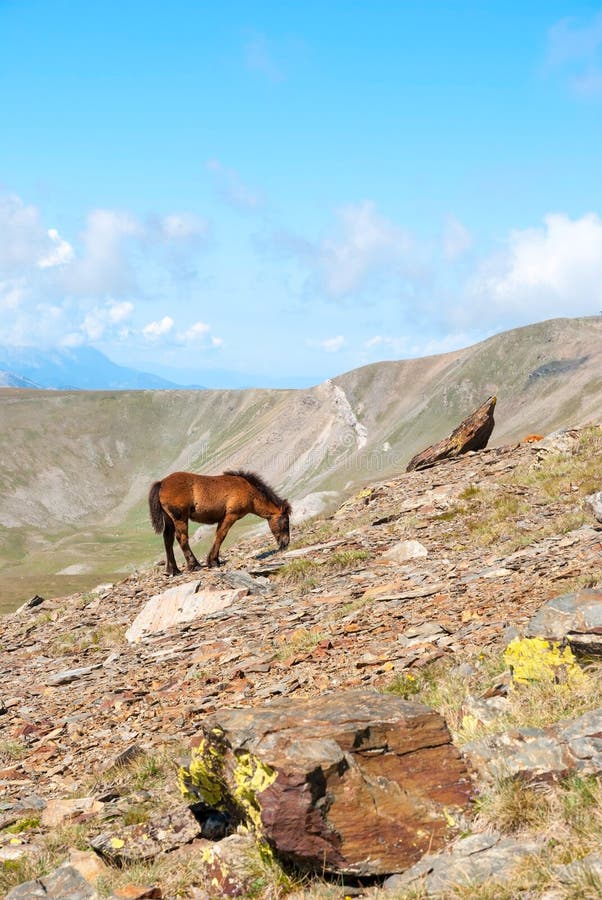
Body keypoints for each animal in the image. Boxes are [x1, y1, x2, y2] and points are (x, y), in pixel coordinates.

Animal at [148, 469, 291, 576]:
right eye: (285, 521)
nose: (286, 543)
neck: (249, 491)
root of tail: (162, 483)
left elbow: (218, 535)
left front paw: (215, 560)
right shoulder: (230, 516)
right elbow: (221, 535)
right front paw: (213, 561)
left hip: (169, 519)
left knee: (168, 540)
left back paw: (173, 570)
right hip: (180, 518)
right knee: (181, 539)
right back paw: (194, 565)